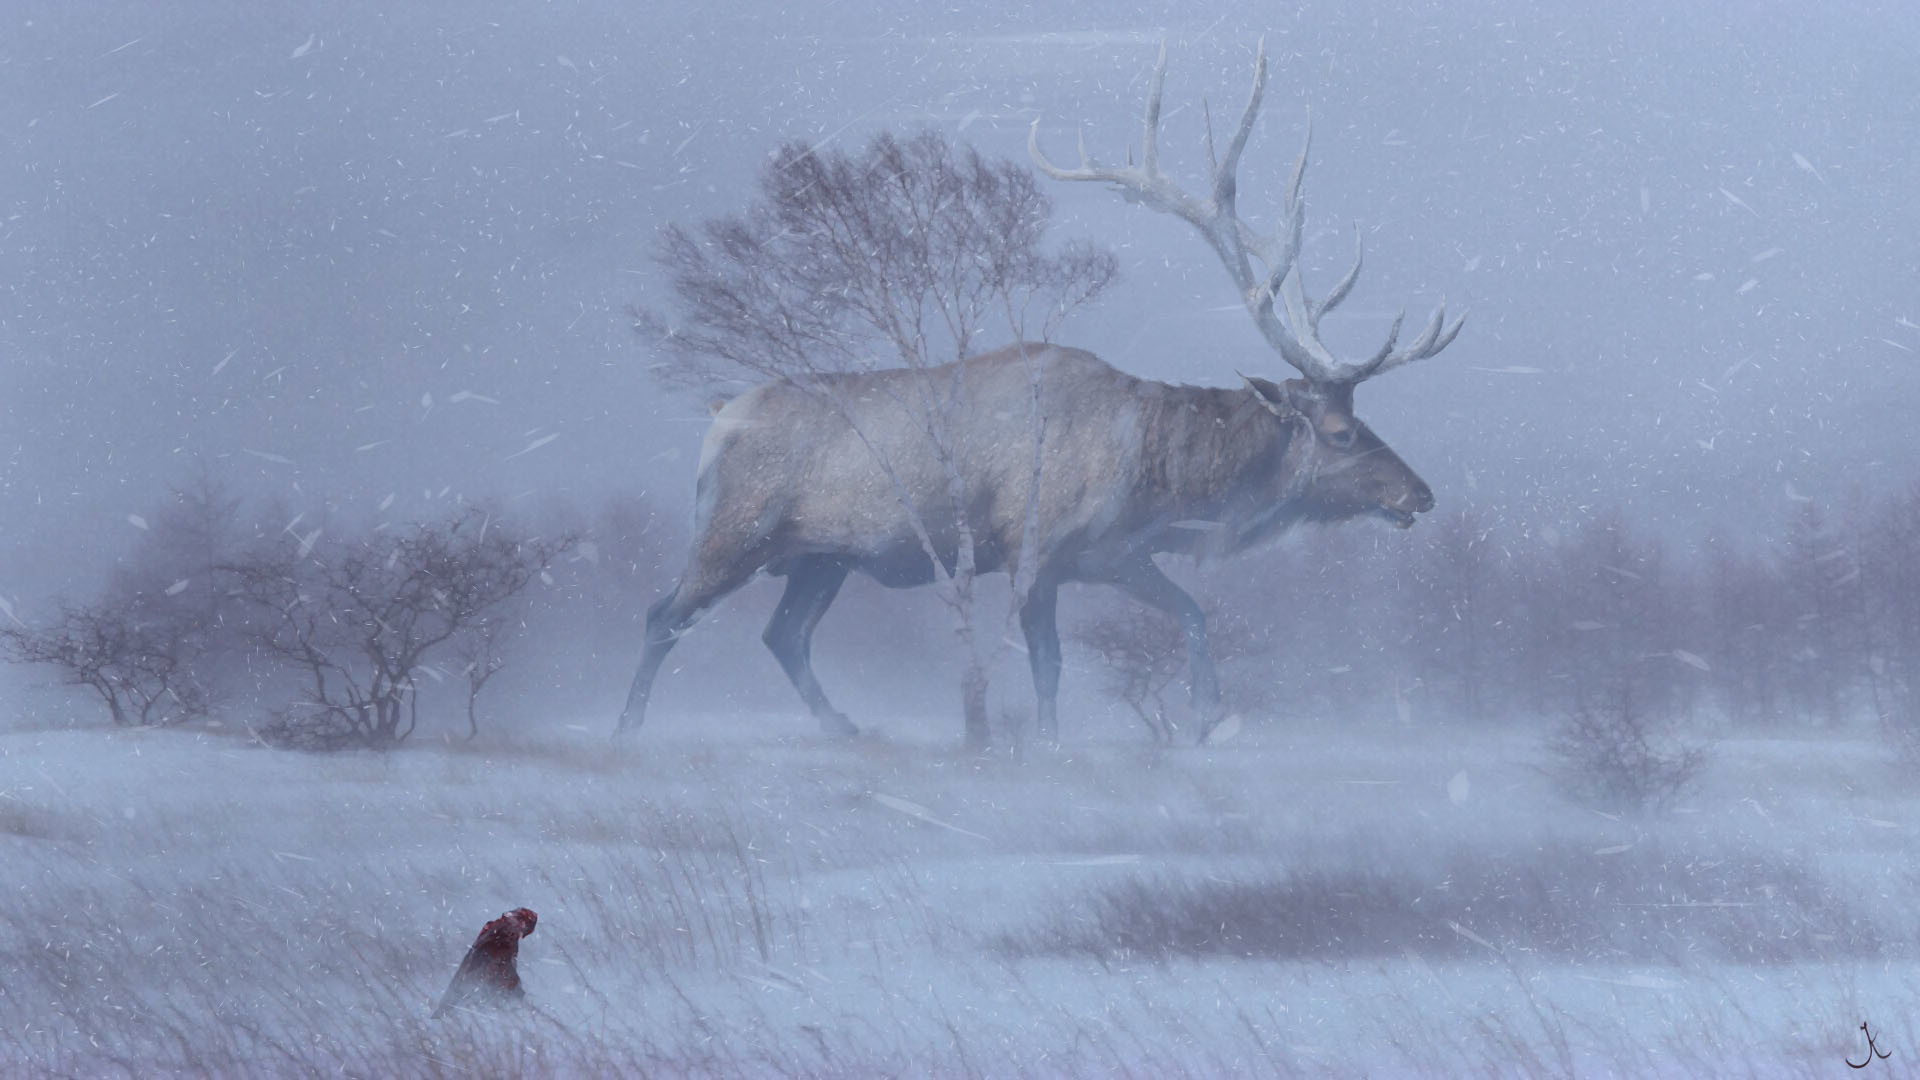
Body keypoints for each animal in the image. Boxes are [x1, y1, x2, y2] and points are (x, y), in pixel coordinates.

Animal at [616, 41, 1461, 745]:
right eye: (1342, 432)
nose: (1420, 494)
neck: (1163, 479)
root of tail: (718, 415)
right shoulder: (1039, 550)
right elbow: (1053, 661)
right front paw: (1071, 741)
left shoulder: (1107, 556)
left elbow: (1183, 617)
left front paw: (1193, 721)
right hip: (733, 532)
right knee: (663, 614)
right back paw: (629, 728)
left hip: (821, 558)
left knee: (783, 634)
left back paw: (846, 727)